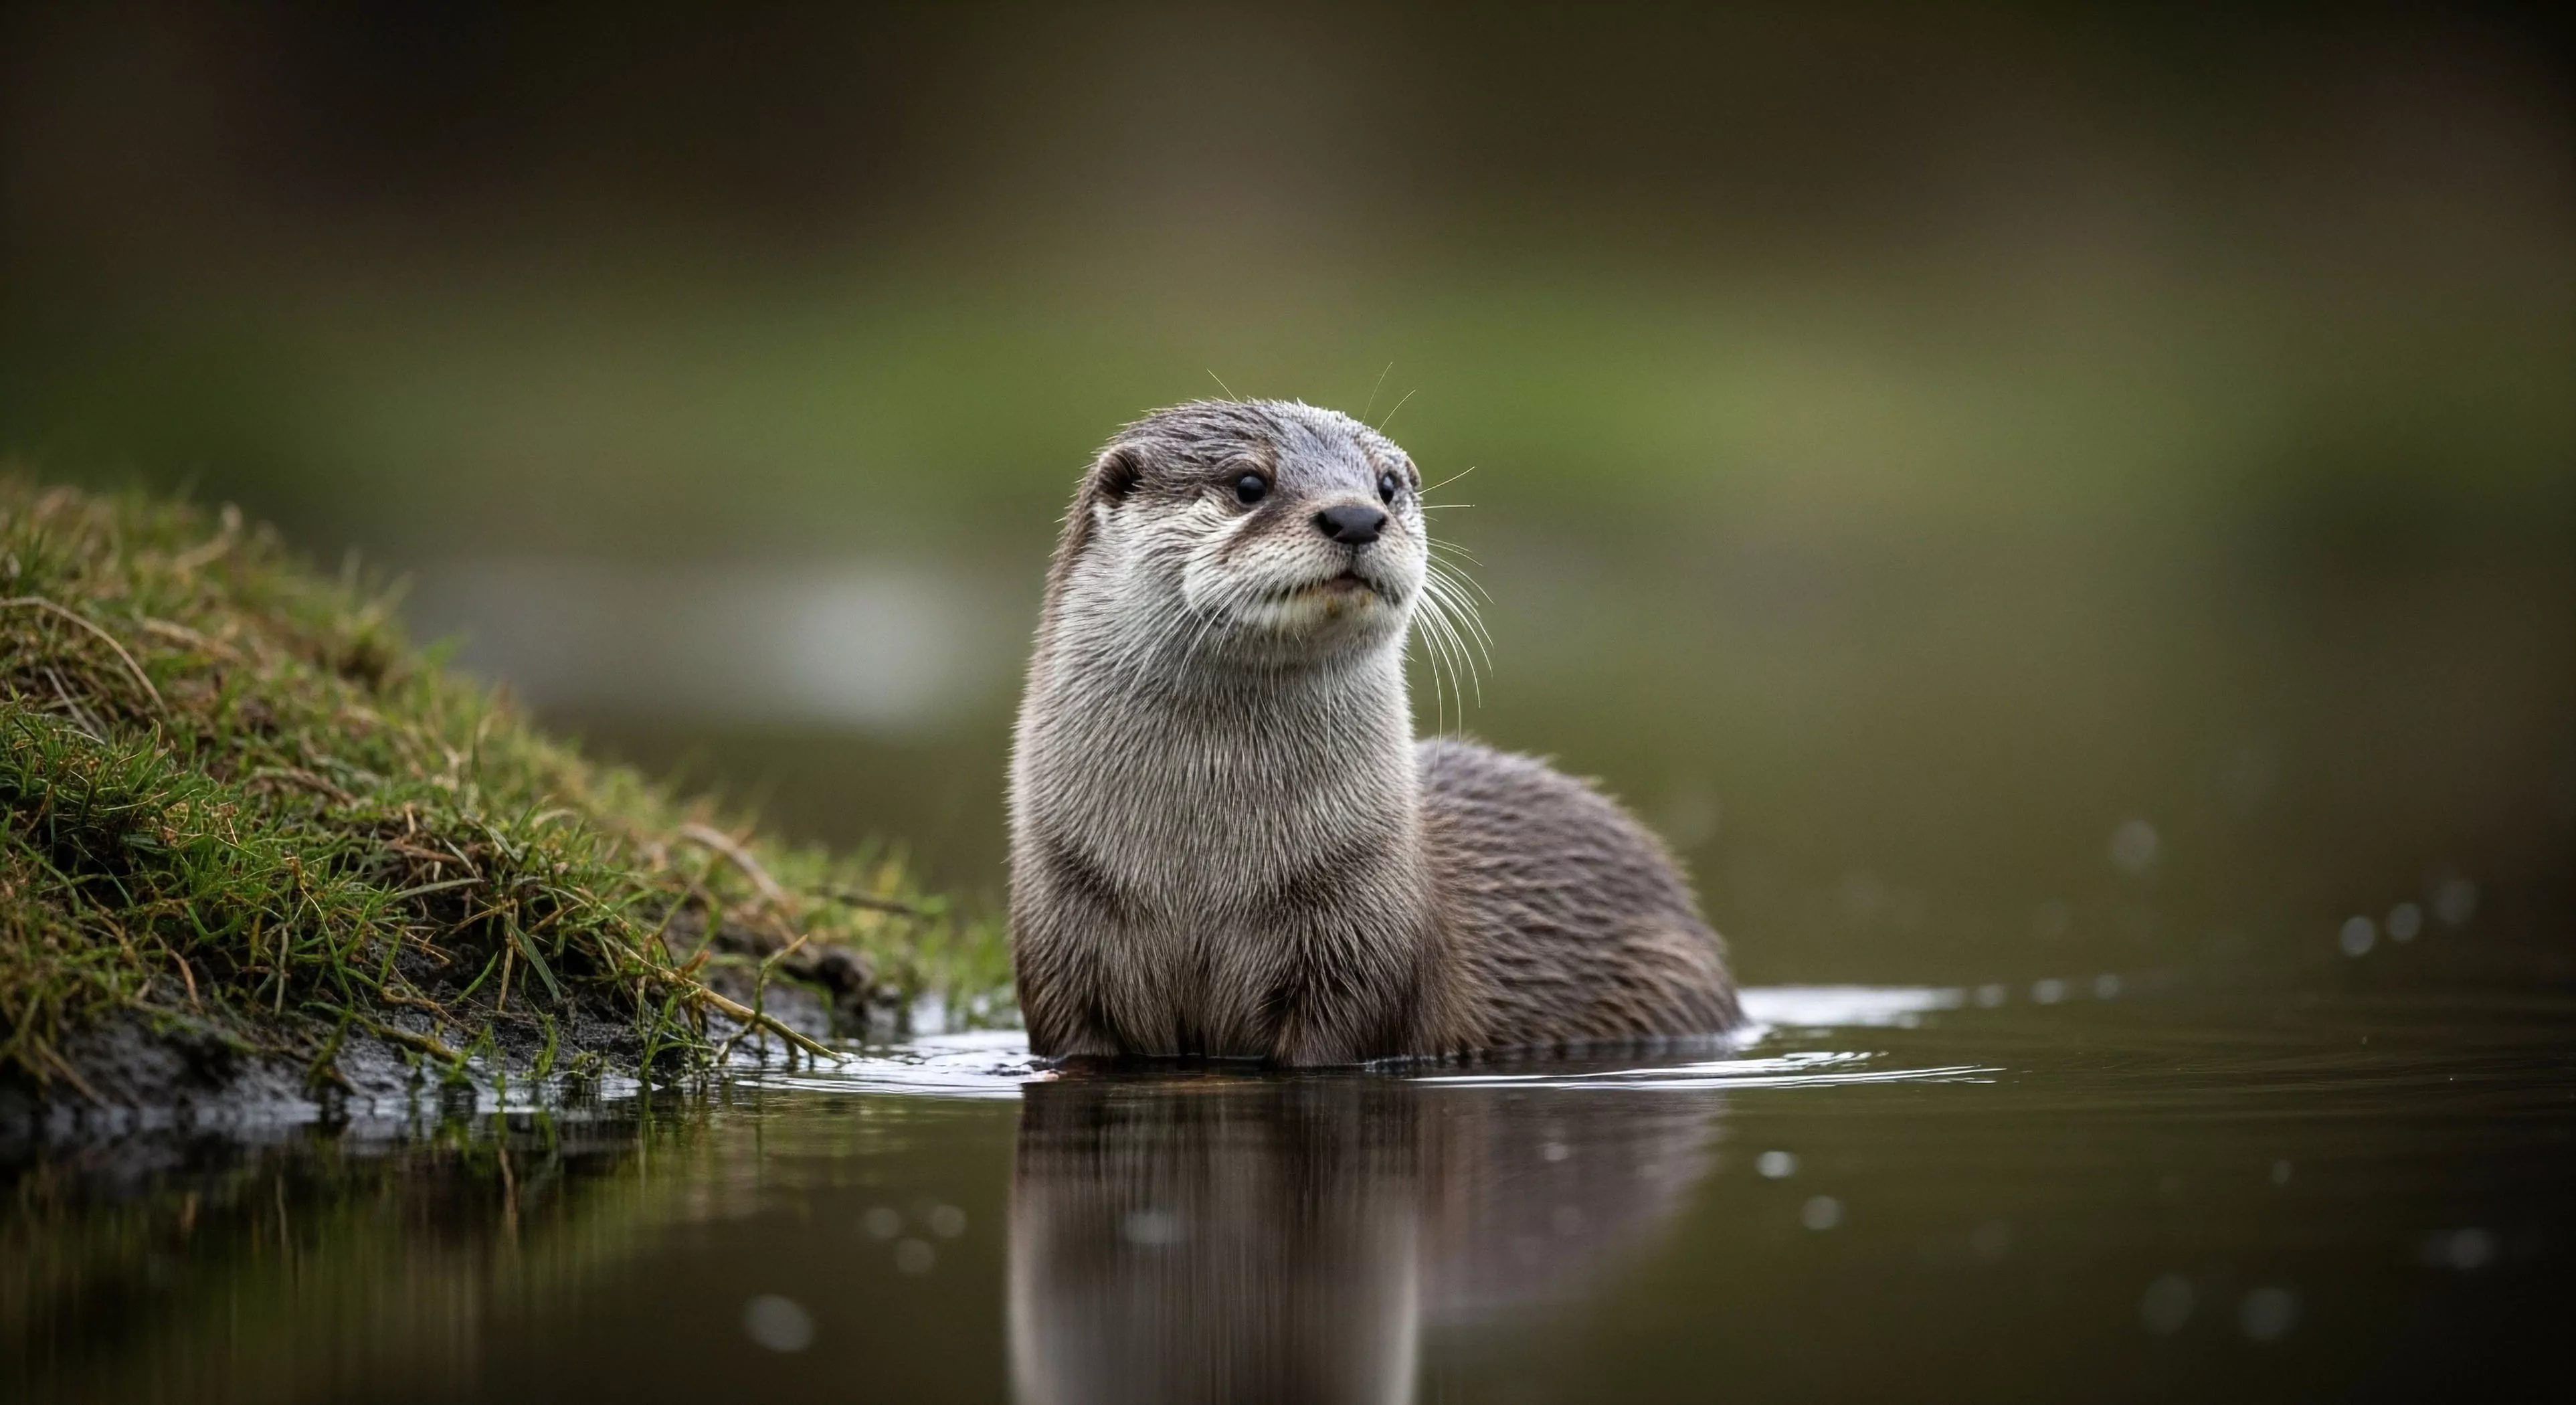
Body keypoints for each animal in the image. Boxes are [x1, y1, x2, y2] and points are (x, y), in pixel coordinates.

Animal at [1008, 399, 1738, 1064]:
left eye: (1386, 484)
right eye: (1248, 484)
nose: (1357, 516)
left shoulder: (1361, 947)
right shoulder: (1065, 940)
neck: (1200, 881)